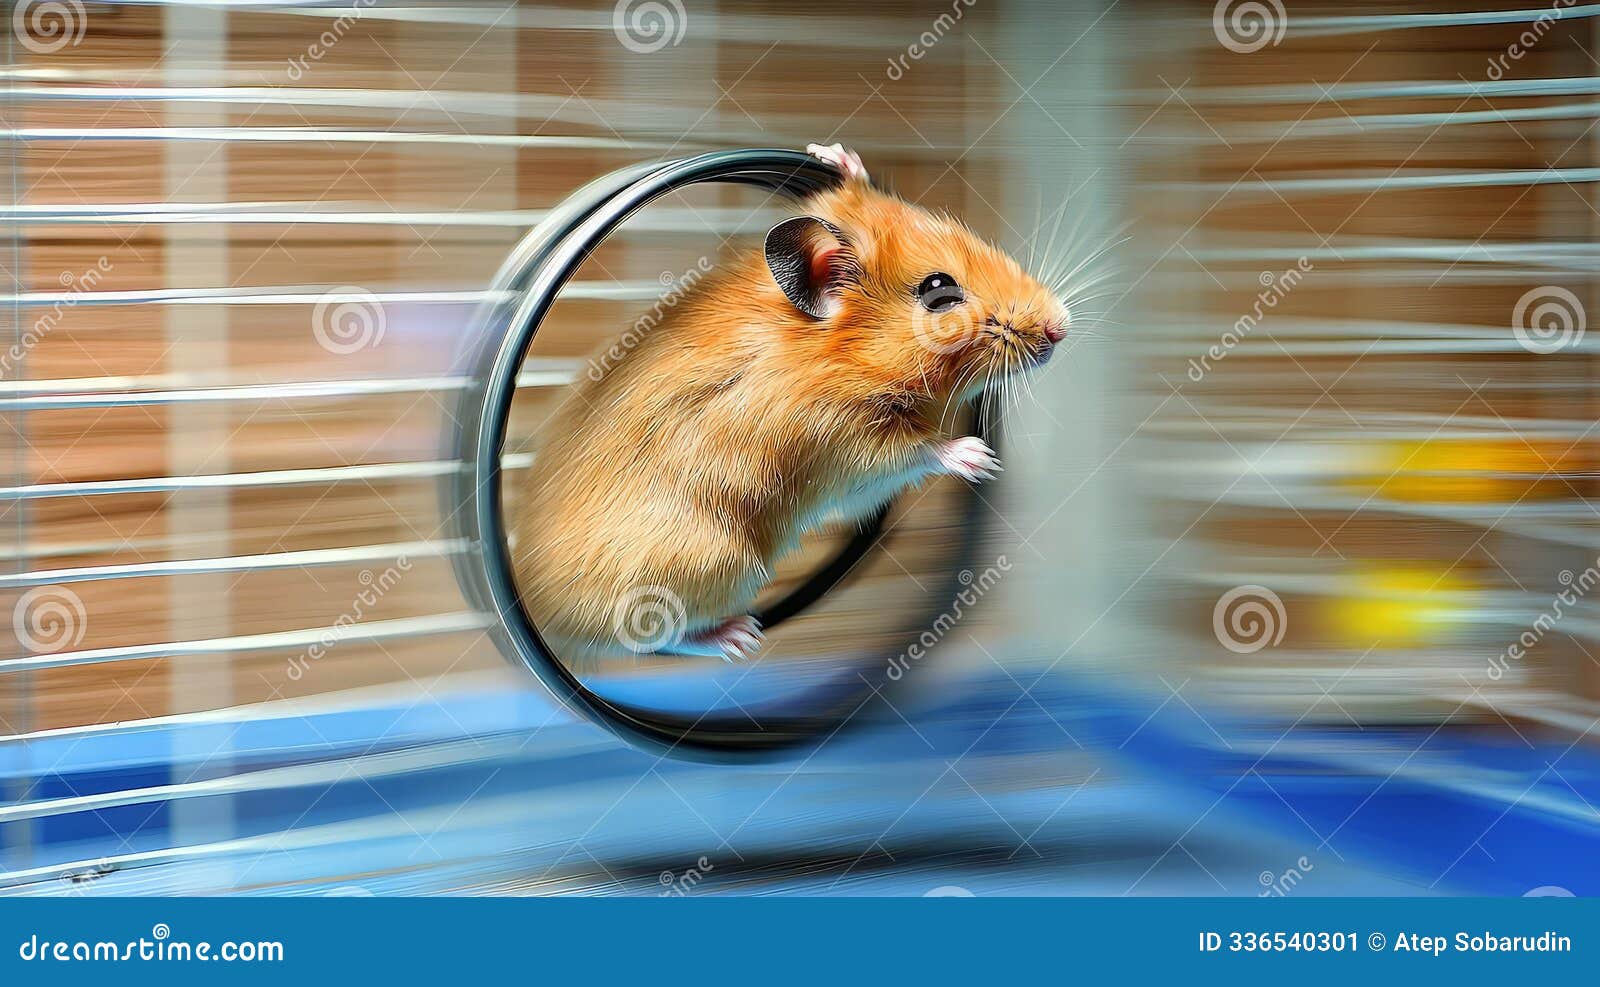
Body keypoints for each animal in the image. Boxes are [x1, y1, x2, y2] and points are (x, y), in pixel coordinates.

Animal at [511, 143, 1066, 662]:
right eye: (938, 290)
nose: (1061, 328)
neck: (834, 359)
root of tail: (538, 609)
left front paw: (841, 159)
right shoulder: (848, 448)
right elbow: (916, 451)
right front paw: (980, 458)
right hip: (711, 562)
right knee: (658, 639)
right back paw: (741, 637)